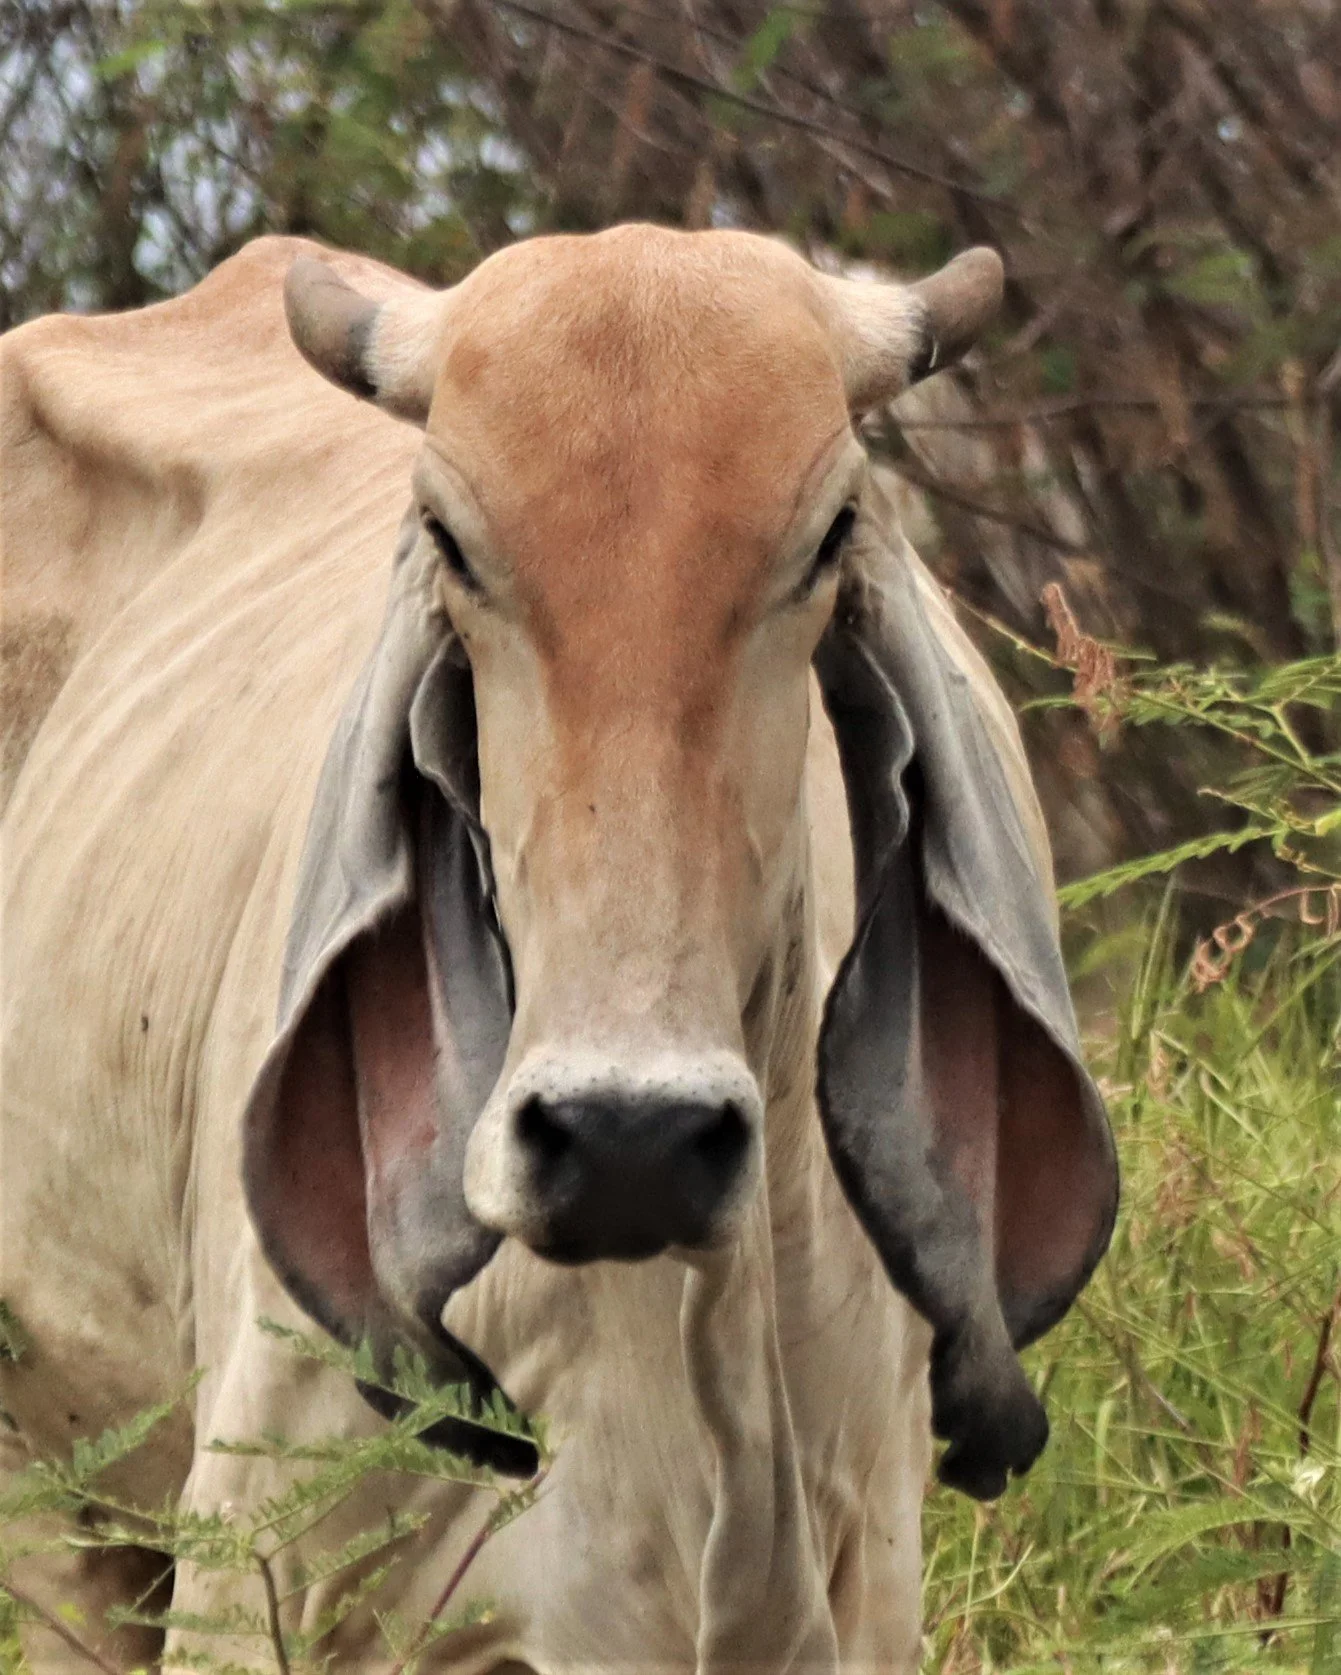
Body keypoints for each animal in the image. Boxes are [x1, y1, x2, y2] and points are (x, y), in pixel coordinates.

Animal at [1, 226, 1117, 1673]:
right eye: (450, 541)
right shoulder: (259, 1570)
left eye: (827, 535)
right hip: (55, 1500)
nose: (627, 1137)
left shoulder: (862, 1587)